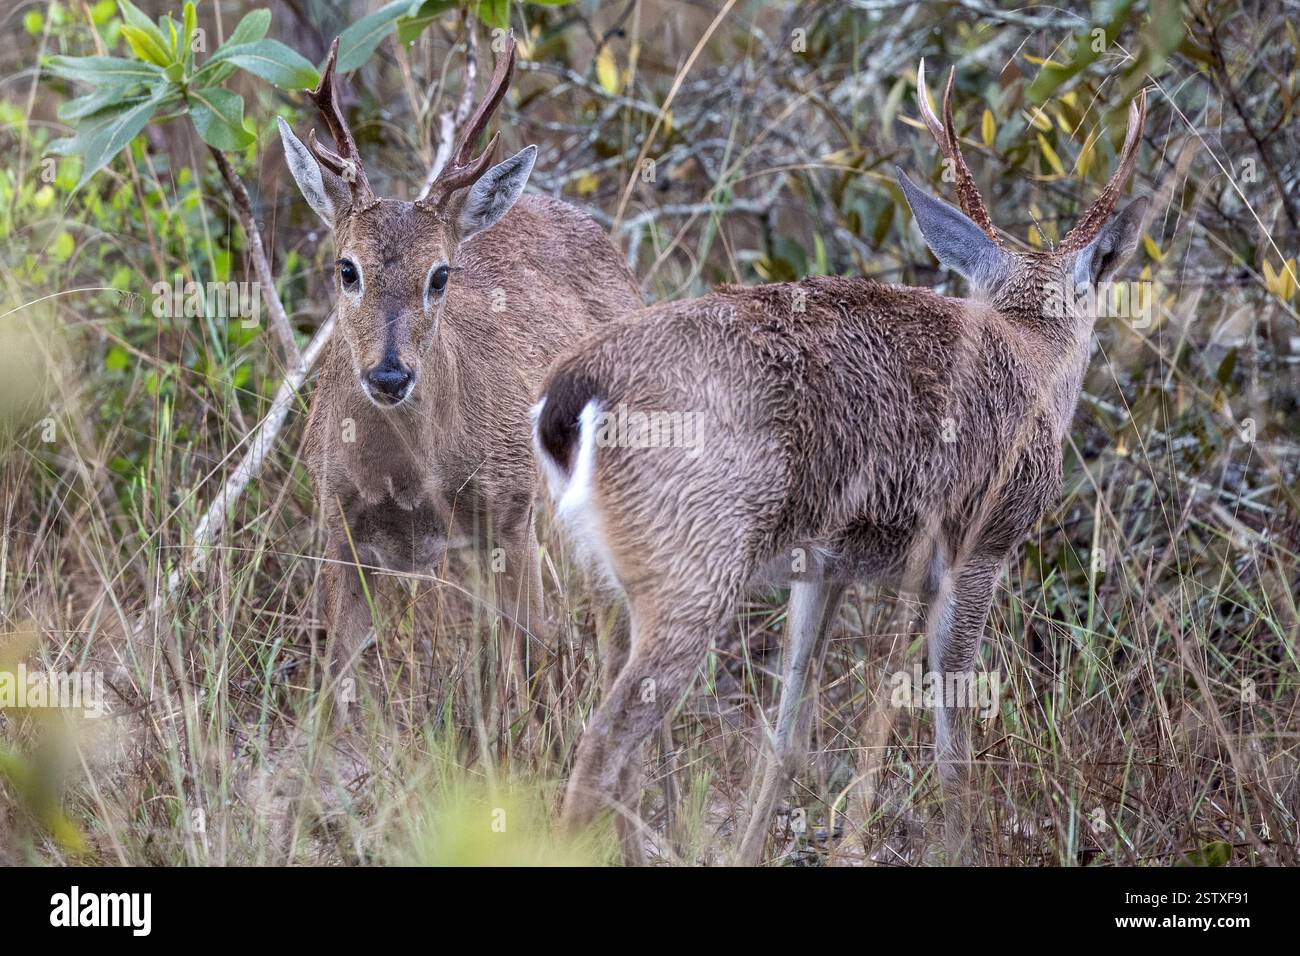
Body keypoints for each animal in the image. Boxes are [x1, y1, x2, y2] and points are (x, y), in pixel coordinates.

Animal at [276, 34, 641, 725]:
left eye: (440, 275)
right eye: (346, 267)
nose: (389, 374)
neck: (406, 476)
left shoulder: (511, 516)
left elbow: (534, 662)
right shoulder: (339, 525)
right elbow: (334, 680)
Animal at [533, 62, 1148, 864]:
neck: (1031, 354)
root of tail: (572, 393)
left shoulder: (824, 567)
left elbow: (787, 734)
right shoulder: (983, 543)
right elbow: (953, 740)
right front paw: (958, 843)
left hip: (616, 572)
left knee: (625, 747)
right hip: (694, 559)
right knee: (604, 745)